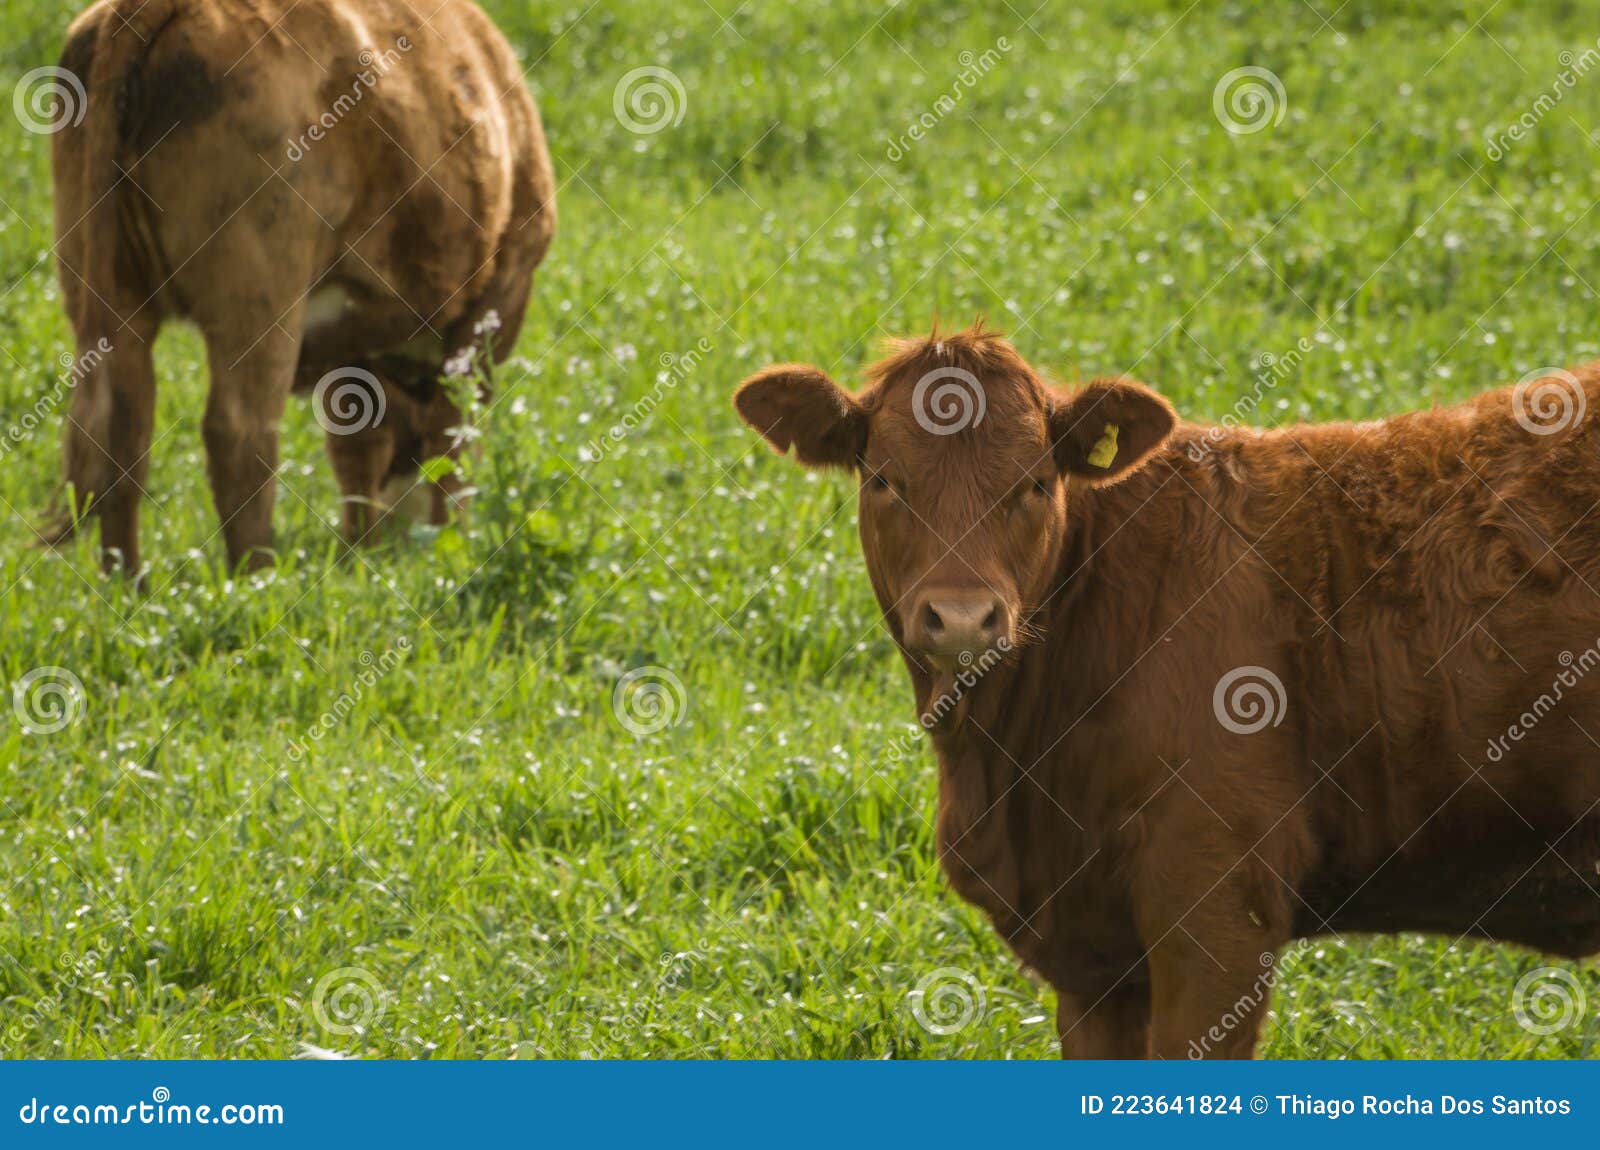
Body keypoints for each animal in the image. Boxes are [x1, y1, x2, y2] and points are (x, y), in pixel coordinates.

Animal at [47, 0, 555, 573]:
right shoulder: (494, 305)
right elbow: (450, 441)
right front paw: (445, 549)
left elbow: (359, 445)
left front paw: (360, 554)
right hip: (262, 293)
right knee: (239, 436)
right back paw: (255, 578)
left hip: (107, 291)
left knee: (122, 433)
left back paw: (129, 585)